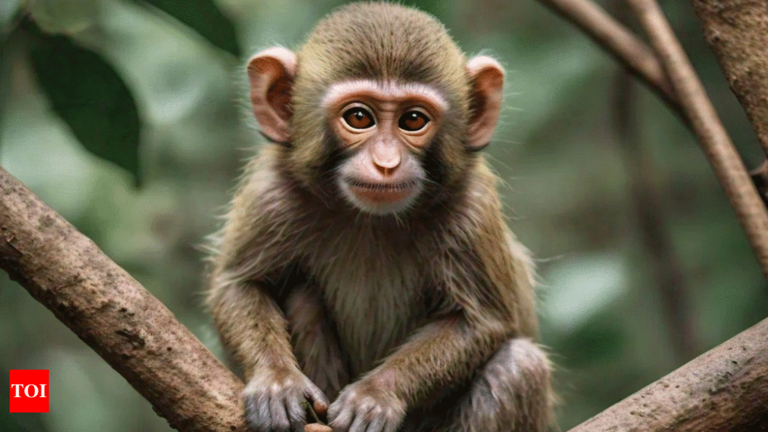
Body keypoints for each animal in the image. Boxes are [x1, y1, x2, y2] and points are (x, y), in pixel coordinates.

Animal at [206, 3, 554, 432]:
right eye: (359, 117)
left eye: (413, 121)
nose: (386, 163)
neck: (370, 220)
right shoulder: (271, 194)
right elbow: (238, 285)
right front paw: (277, 380)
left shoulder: (473, 211)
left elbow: (480, 320)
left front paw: (375, 395)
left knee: (517, 368)